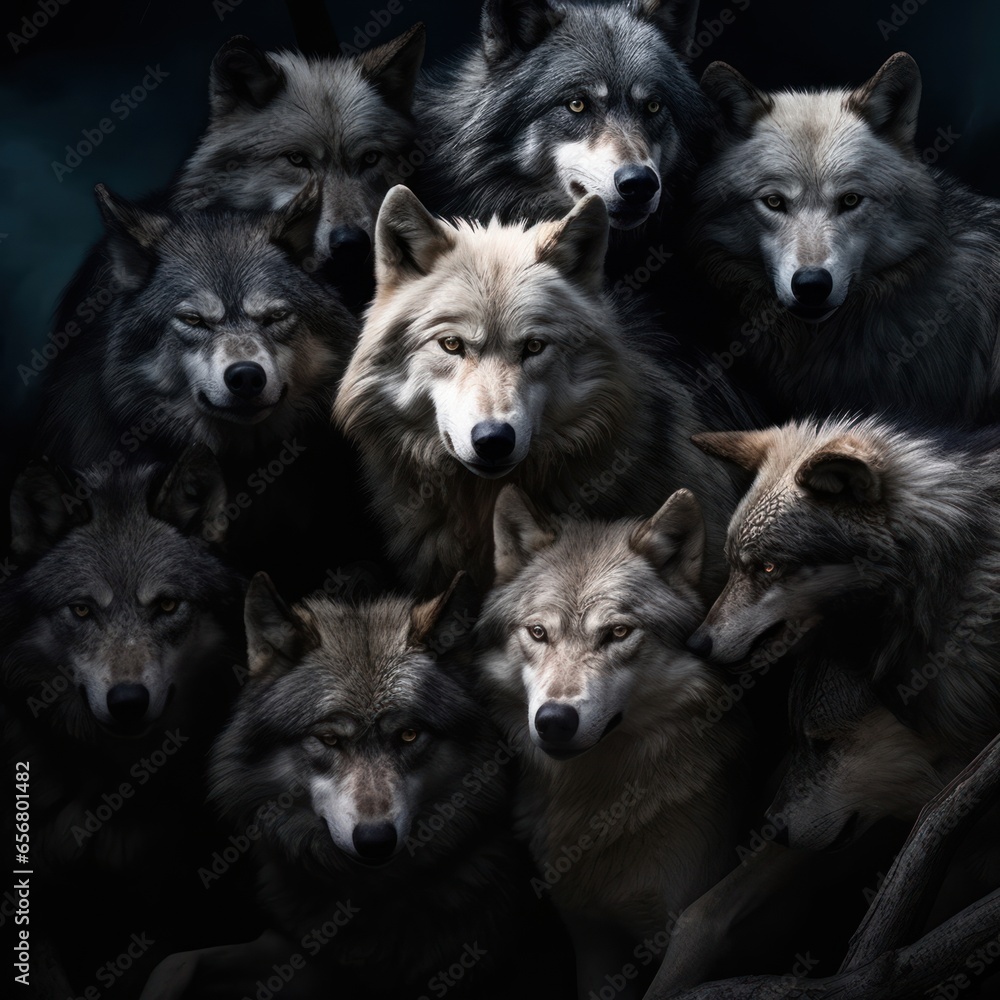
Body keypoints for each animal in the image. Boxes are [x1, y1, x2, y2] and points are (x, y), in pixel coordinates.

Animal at [137, 571, 575, 1000]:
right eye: (329, 739)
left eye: (408, 735)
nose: (375, 841)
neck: (370, 899)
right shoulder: (295, 955)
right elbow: (173, 964)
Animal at [475, 484, 750, 998]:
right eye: (538, 632)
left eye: (618, 632)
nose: (554, 721)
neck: (600, 808)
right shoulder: (593, 940)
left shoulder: (687, 928)